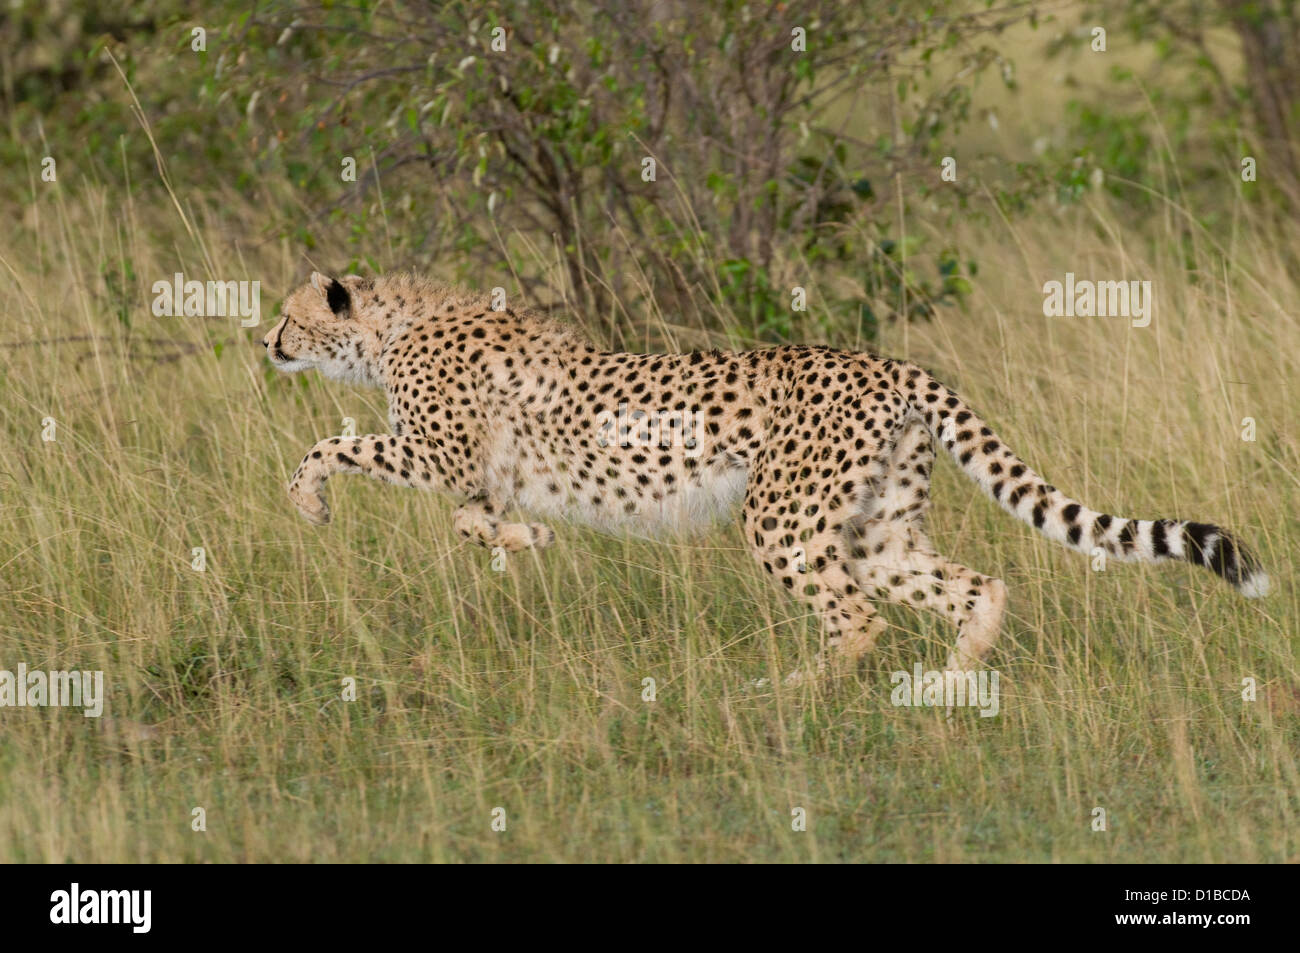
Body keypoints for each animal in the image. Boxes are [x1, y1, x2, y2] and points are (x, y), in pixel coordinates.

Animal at [263, 271, 1269, 682]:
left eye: (289, 315)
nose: (263, 340)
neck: (391, 326)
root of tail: (887, 362)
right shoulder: (480, 472)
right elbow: (473, 520)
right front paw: (528, 536)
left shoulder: (437, 453)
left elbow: (332, 446)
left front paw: (307, 499)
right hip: (877, 527)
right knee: (975, 585)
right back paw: (946, 688)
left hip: (781, 518)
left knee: (857, 617)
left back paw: (795, 695)